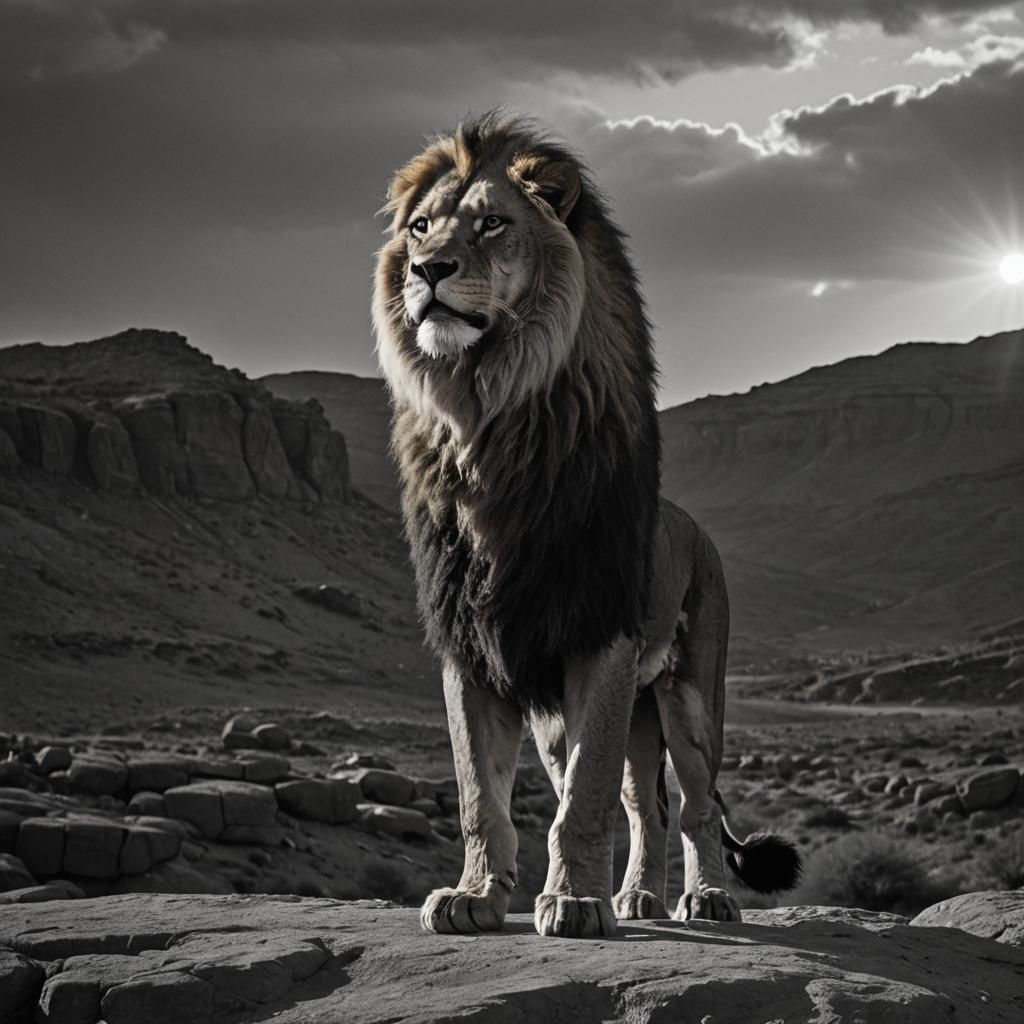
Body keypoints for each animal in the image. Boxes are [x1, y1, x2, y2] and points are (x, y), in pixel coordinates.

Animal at [372, 112, 800, 939]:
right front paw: (476, 897)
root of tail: (695, 529)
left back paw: (705, 898)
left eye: (493, 224)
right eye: (420, 227)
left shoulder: (598, 634)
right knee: (648, 808)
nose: (428, 270)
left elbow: (583, 797)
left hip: (689, 699)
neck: (488, 422)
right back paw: (639, 898)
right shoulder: (474, 648)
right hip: (598, 713)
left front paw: (572, 902)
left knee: (695, 807)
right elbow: (480, 795)